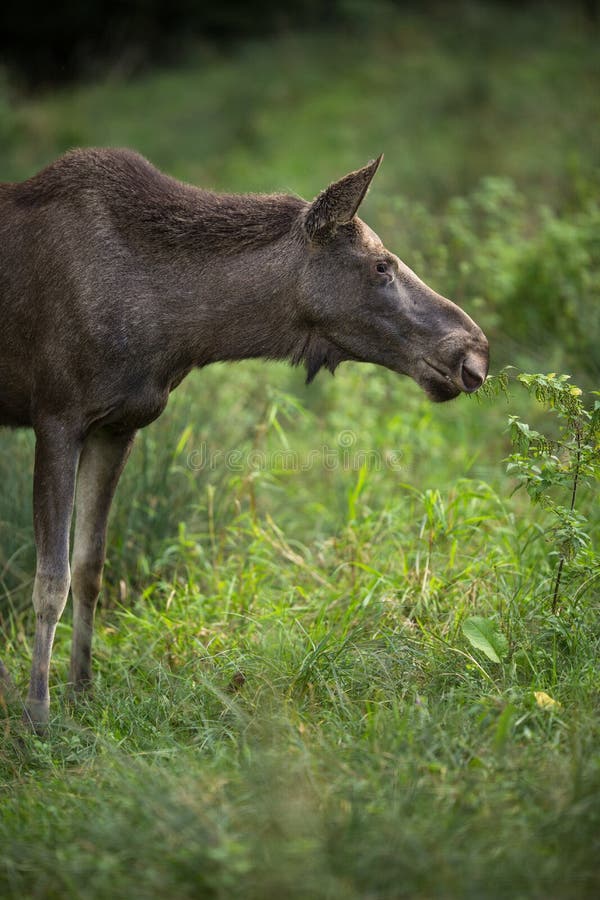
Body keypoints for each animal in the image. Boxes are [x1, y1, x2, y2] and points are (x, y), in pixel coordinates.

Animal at [0, 149, 489, 729]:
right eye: (380, 265)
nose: (475, 351)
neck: (177, 333)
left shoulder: (117, 427)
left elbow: (90, 568)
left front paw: (82, 691)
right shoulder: (56, 417)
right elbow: (50, 581)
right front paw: (38, 714)